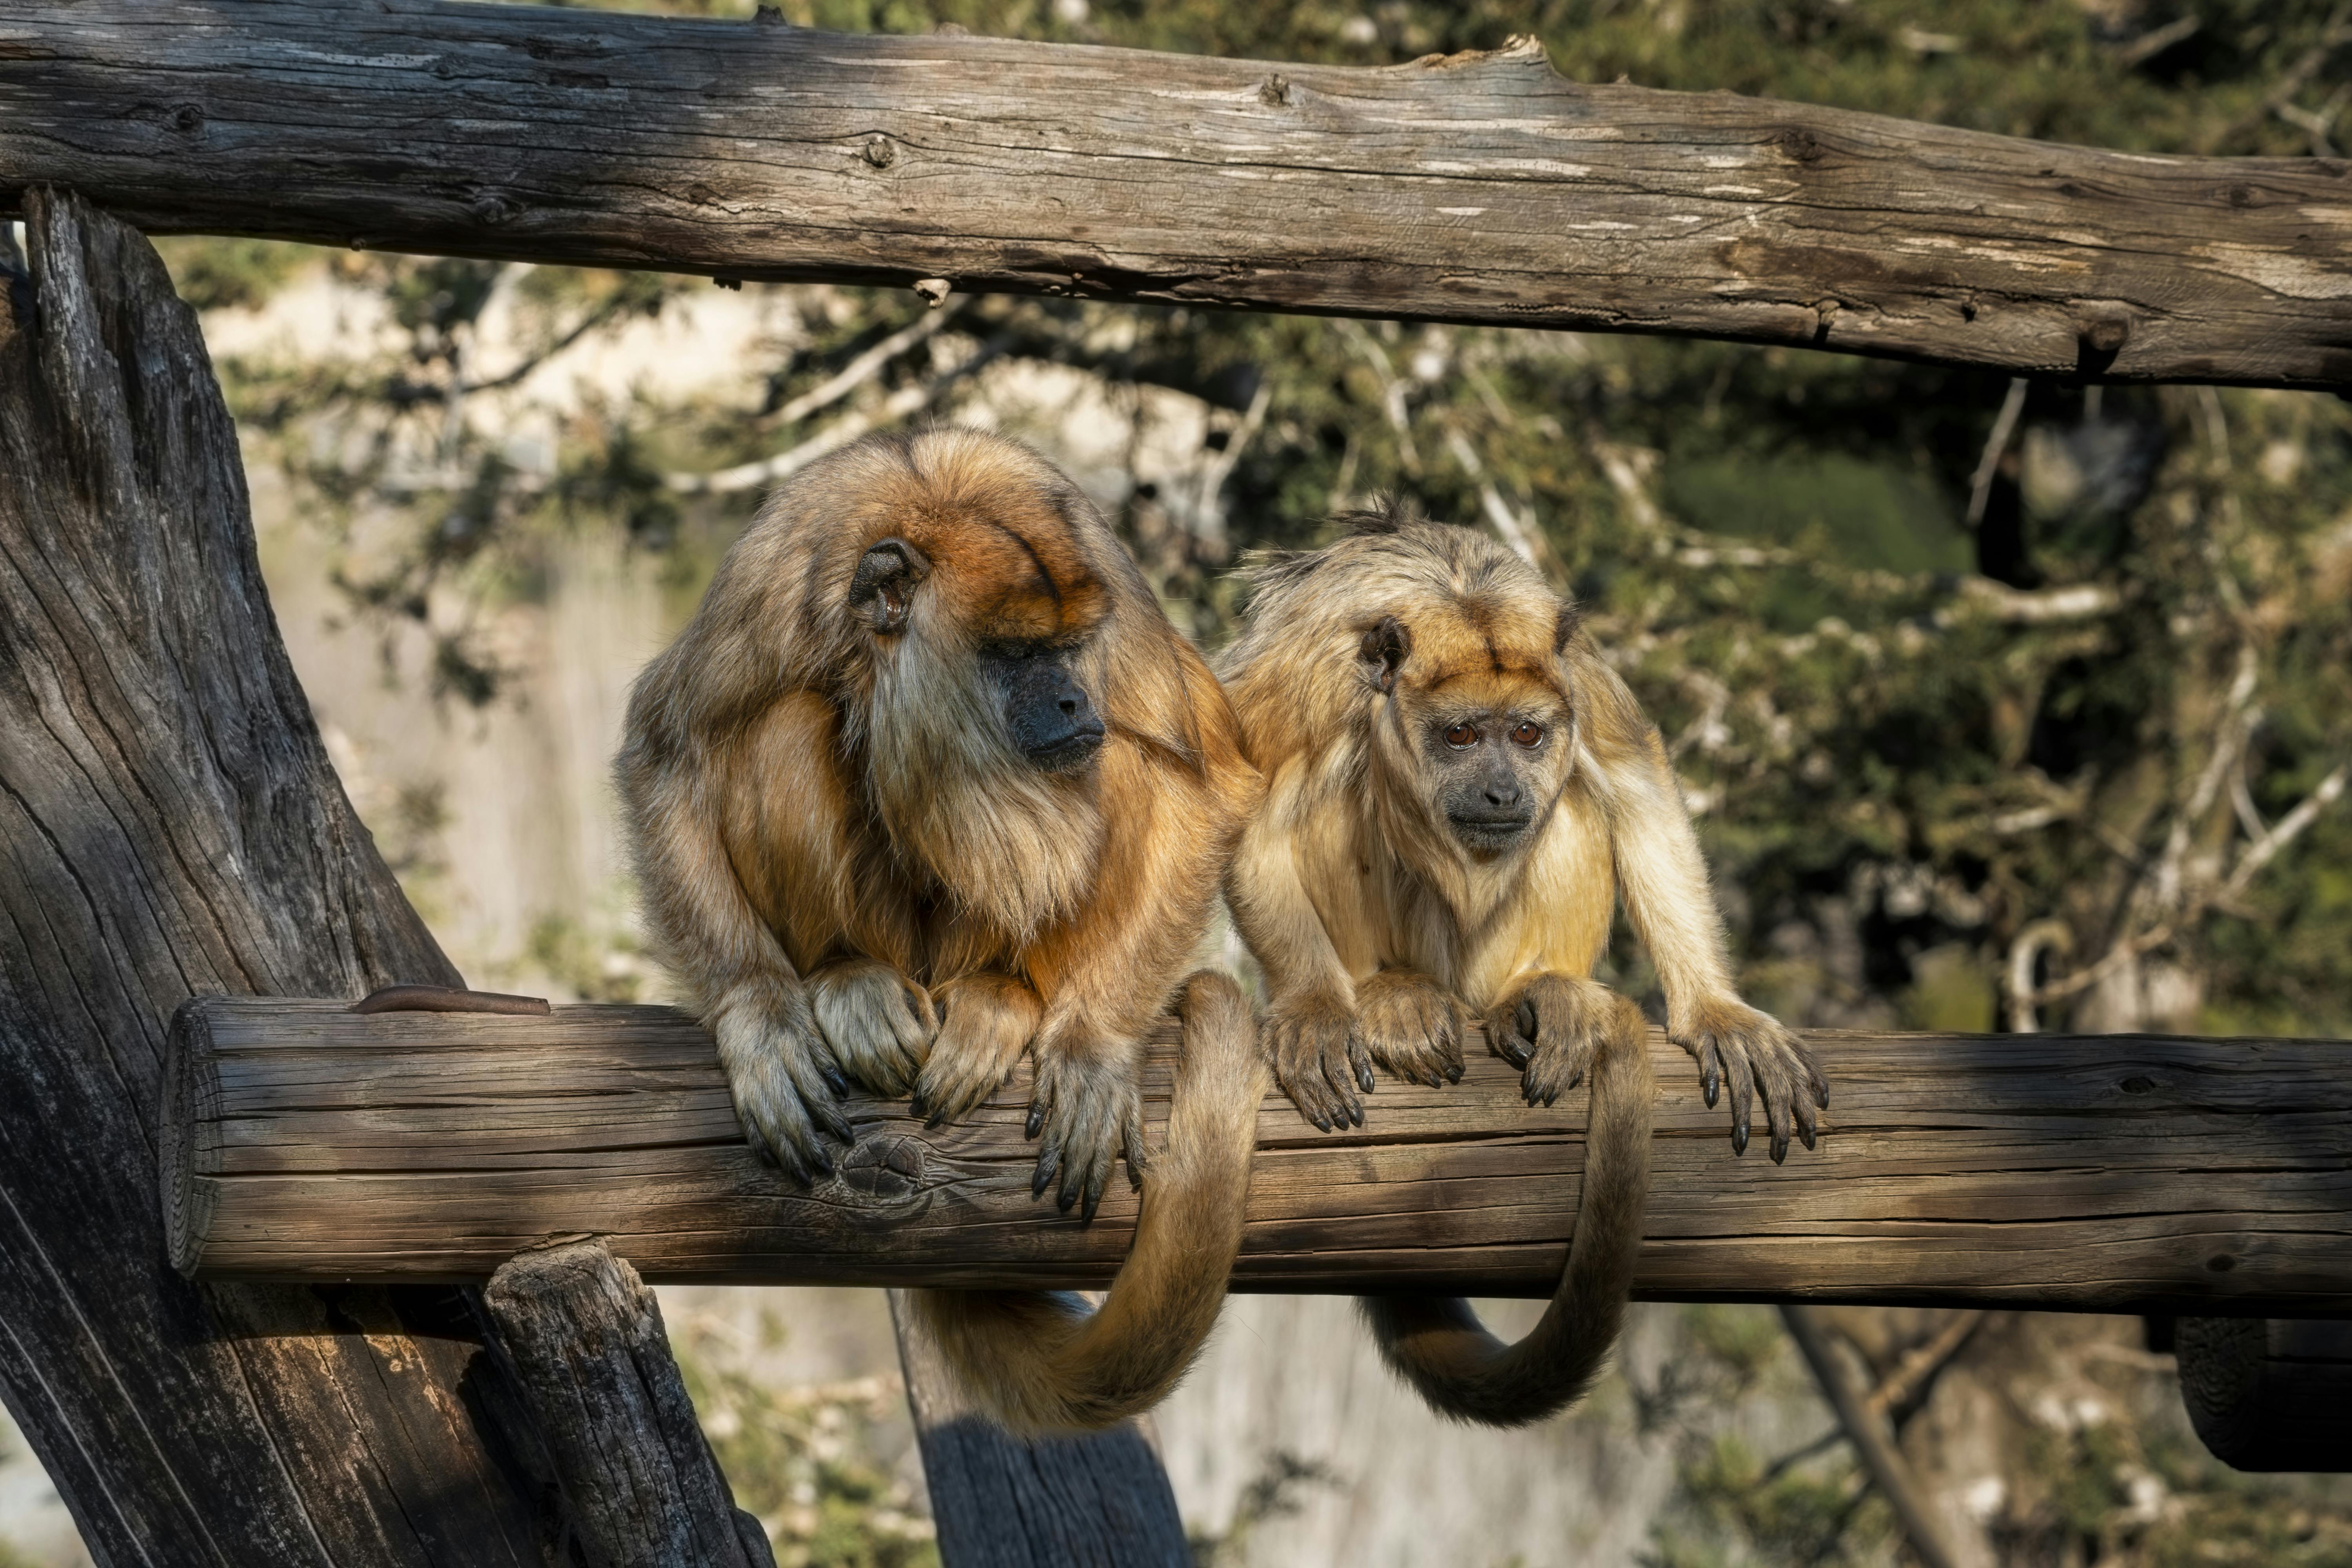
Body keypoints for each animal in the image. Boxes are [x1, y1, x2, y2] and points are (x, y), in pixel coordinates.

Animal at [616, 427, 1266, 1432]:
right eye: (1015, 653)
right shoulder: (771, 581)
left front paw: (1093, 1046)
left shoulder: (1106, 569)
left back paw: (1004, 994)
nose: (1073, 700)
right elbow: (667, 751)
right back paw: (850, 978)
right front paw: (760, 1019)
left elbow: (1206, 776)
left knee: (1121, 760)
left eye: (1069, 649)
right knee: (782, 718)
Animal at [1216, 507, 1827, 1425]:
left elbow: (1634, 777)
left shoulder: (1577, 672)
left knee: (1571, 800)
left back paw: (1538, 995)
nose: (1504, 791)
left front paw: (1718, 1012)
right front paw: (1320, 1007)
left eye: (1528, 734)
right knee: (1338, 784)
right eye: (1462, 734)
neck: (1458, 603)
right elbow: (1249, 806)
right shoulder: (1309, 675)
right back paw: (1388, 993)